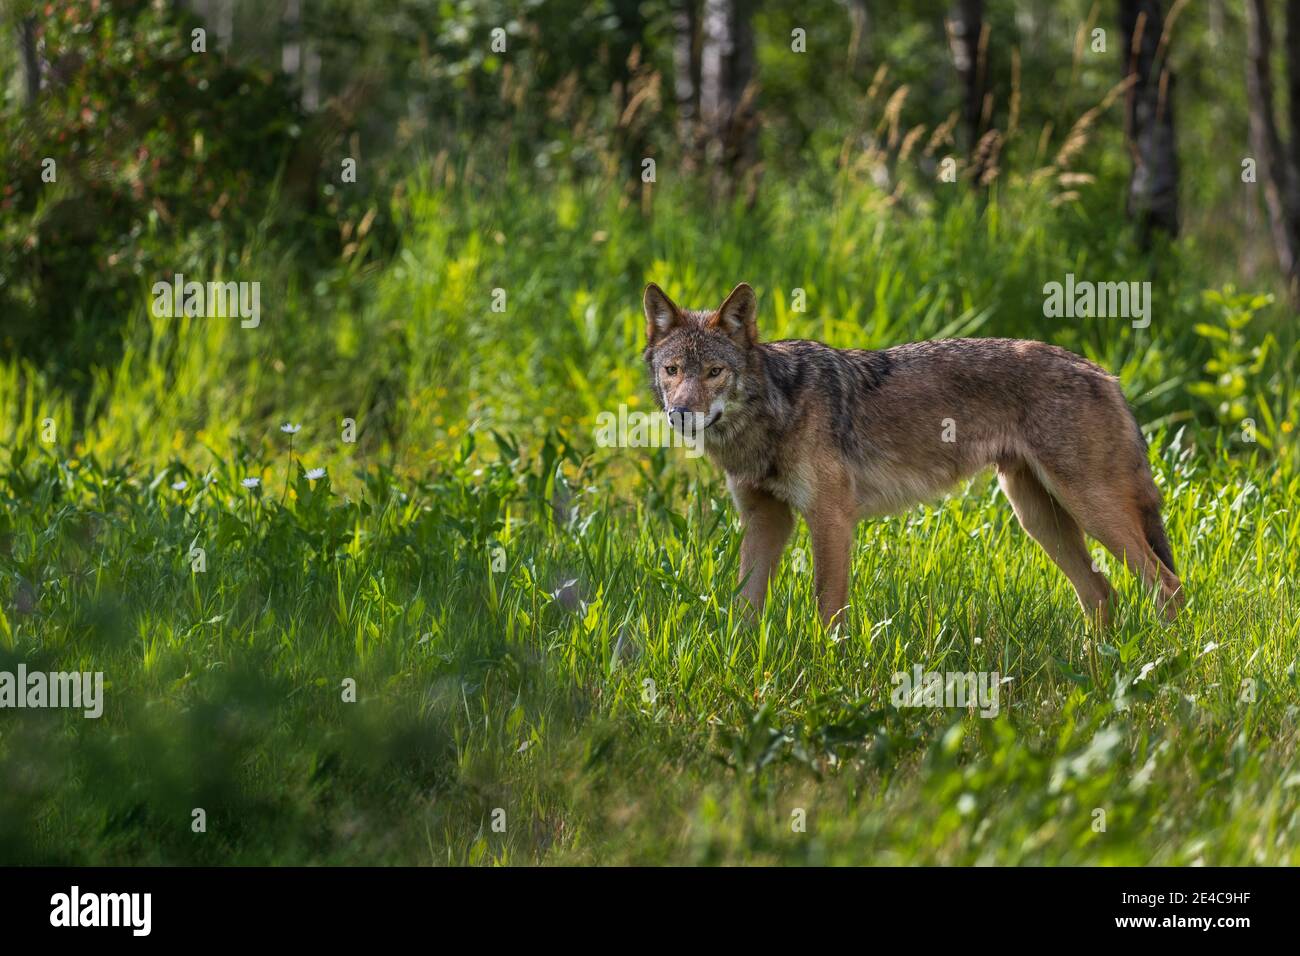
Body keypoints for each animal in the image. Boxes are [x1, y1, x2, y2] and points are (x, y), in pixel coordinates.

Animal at [642, 282, 1184, 627]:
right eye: (673, 370)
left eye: (714, 372)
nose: (681, 414)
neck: (774, 410)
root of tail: (1106, 374)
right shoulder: (765, 520)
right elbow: (744, 608)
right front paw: (743, 667)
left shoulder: (831, 518)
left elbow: (827, 608)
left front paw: (825, 673)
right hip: (1037, 516)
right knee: (1102, 593)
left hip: (1090, 510)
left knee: (1167, 586)